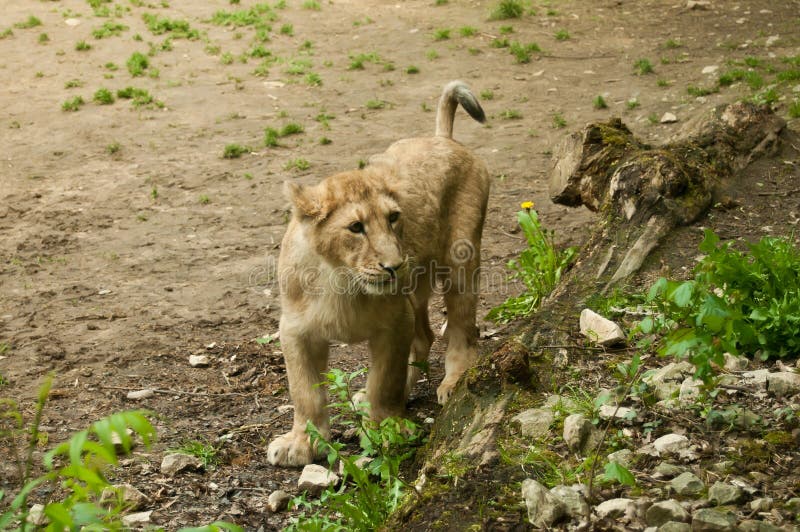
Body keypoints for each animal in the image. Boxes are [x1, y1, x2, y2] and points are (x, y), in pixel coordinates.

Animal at [268, 80, 490, 467]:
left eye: (394, 218)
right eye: (356, 227)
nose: (395, 265)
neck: (342, 281)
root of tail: (443, 139)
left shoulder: (394, 323)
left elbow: (385, 381)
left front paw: (387, 428)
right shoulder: (296, 330)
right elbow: (305, 392)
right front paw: (302, 443)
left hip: (460, 258)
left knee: (463, 327)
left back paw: (453, 383)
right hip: (416, 290)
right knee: (425, 336)